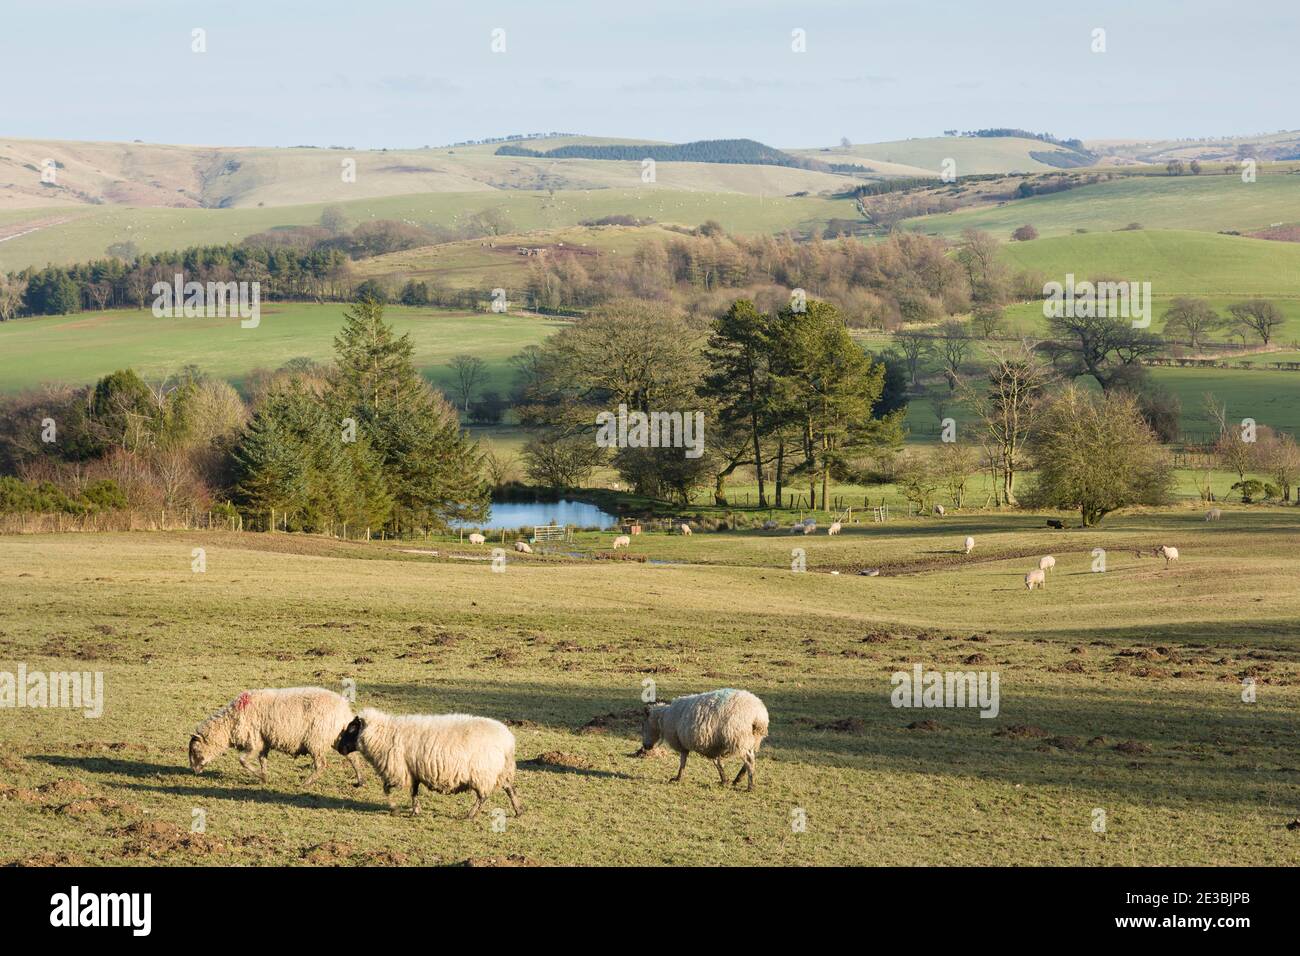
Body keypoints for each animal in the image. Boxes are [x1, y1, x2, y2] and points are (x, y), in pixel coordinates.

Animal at [189, 687, 364, 787]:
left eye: (195, 750)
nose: (194, 771)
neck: (229, 724)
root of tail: (344, 710)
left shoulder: (254, 741)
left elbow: (243, 761)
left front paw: (260, 776)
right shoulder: (263, 742)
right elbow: (263, 760)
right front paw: (265, 777)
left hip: (317, 741)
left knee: (321, 765)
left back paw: (305, 783)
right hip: (338, 738)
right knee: (353, 757)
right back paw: (360, 781)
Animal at [335, 709, 522, 819]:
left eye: (352, 728)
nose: (339, 747)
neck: (385, 734)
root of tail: (508, 741)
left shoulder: (399, 771)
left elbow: (387, 789)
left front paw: (394, 808)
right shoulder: (412, 770)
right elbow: (414, 792)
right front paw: (415, 811)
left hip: (482, 773)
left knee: (483, 796)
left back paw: (470, 815)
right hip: (501, 771)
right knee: (510, 789)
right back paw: (519, 811)